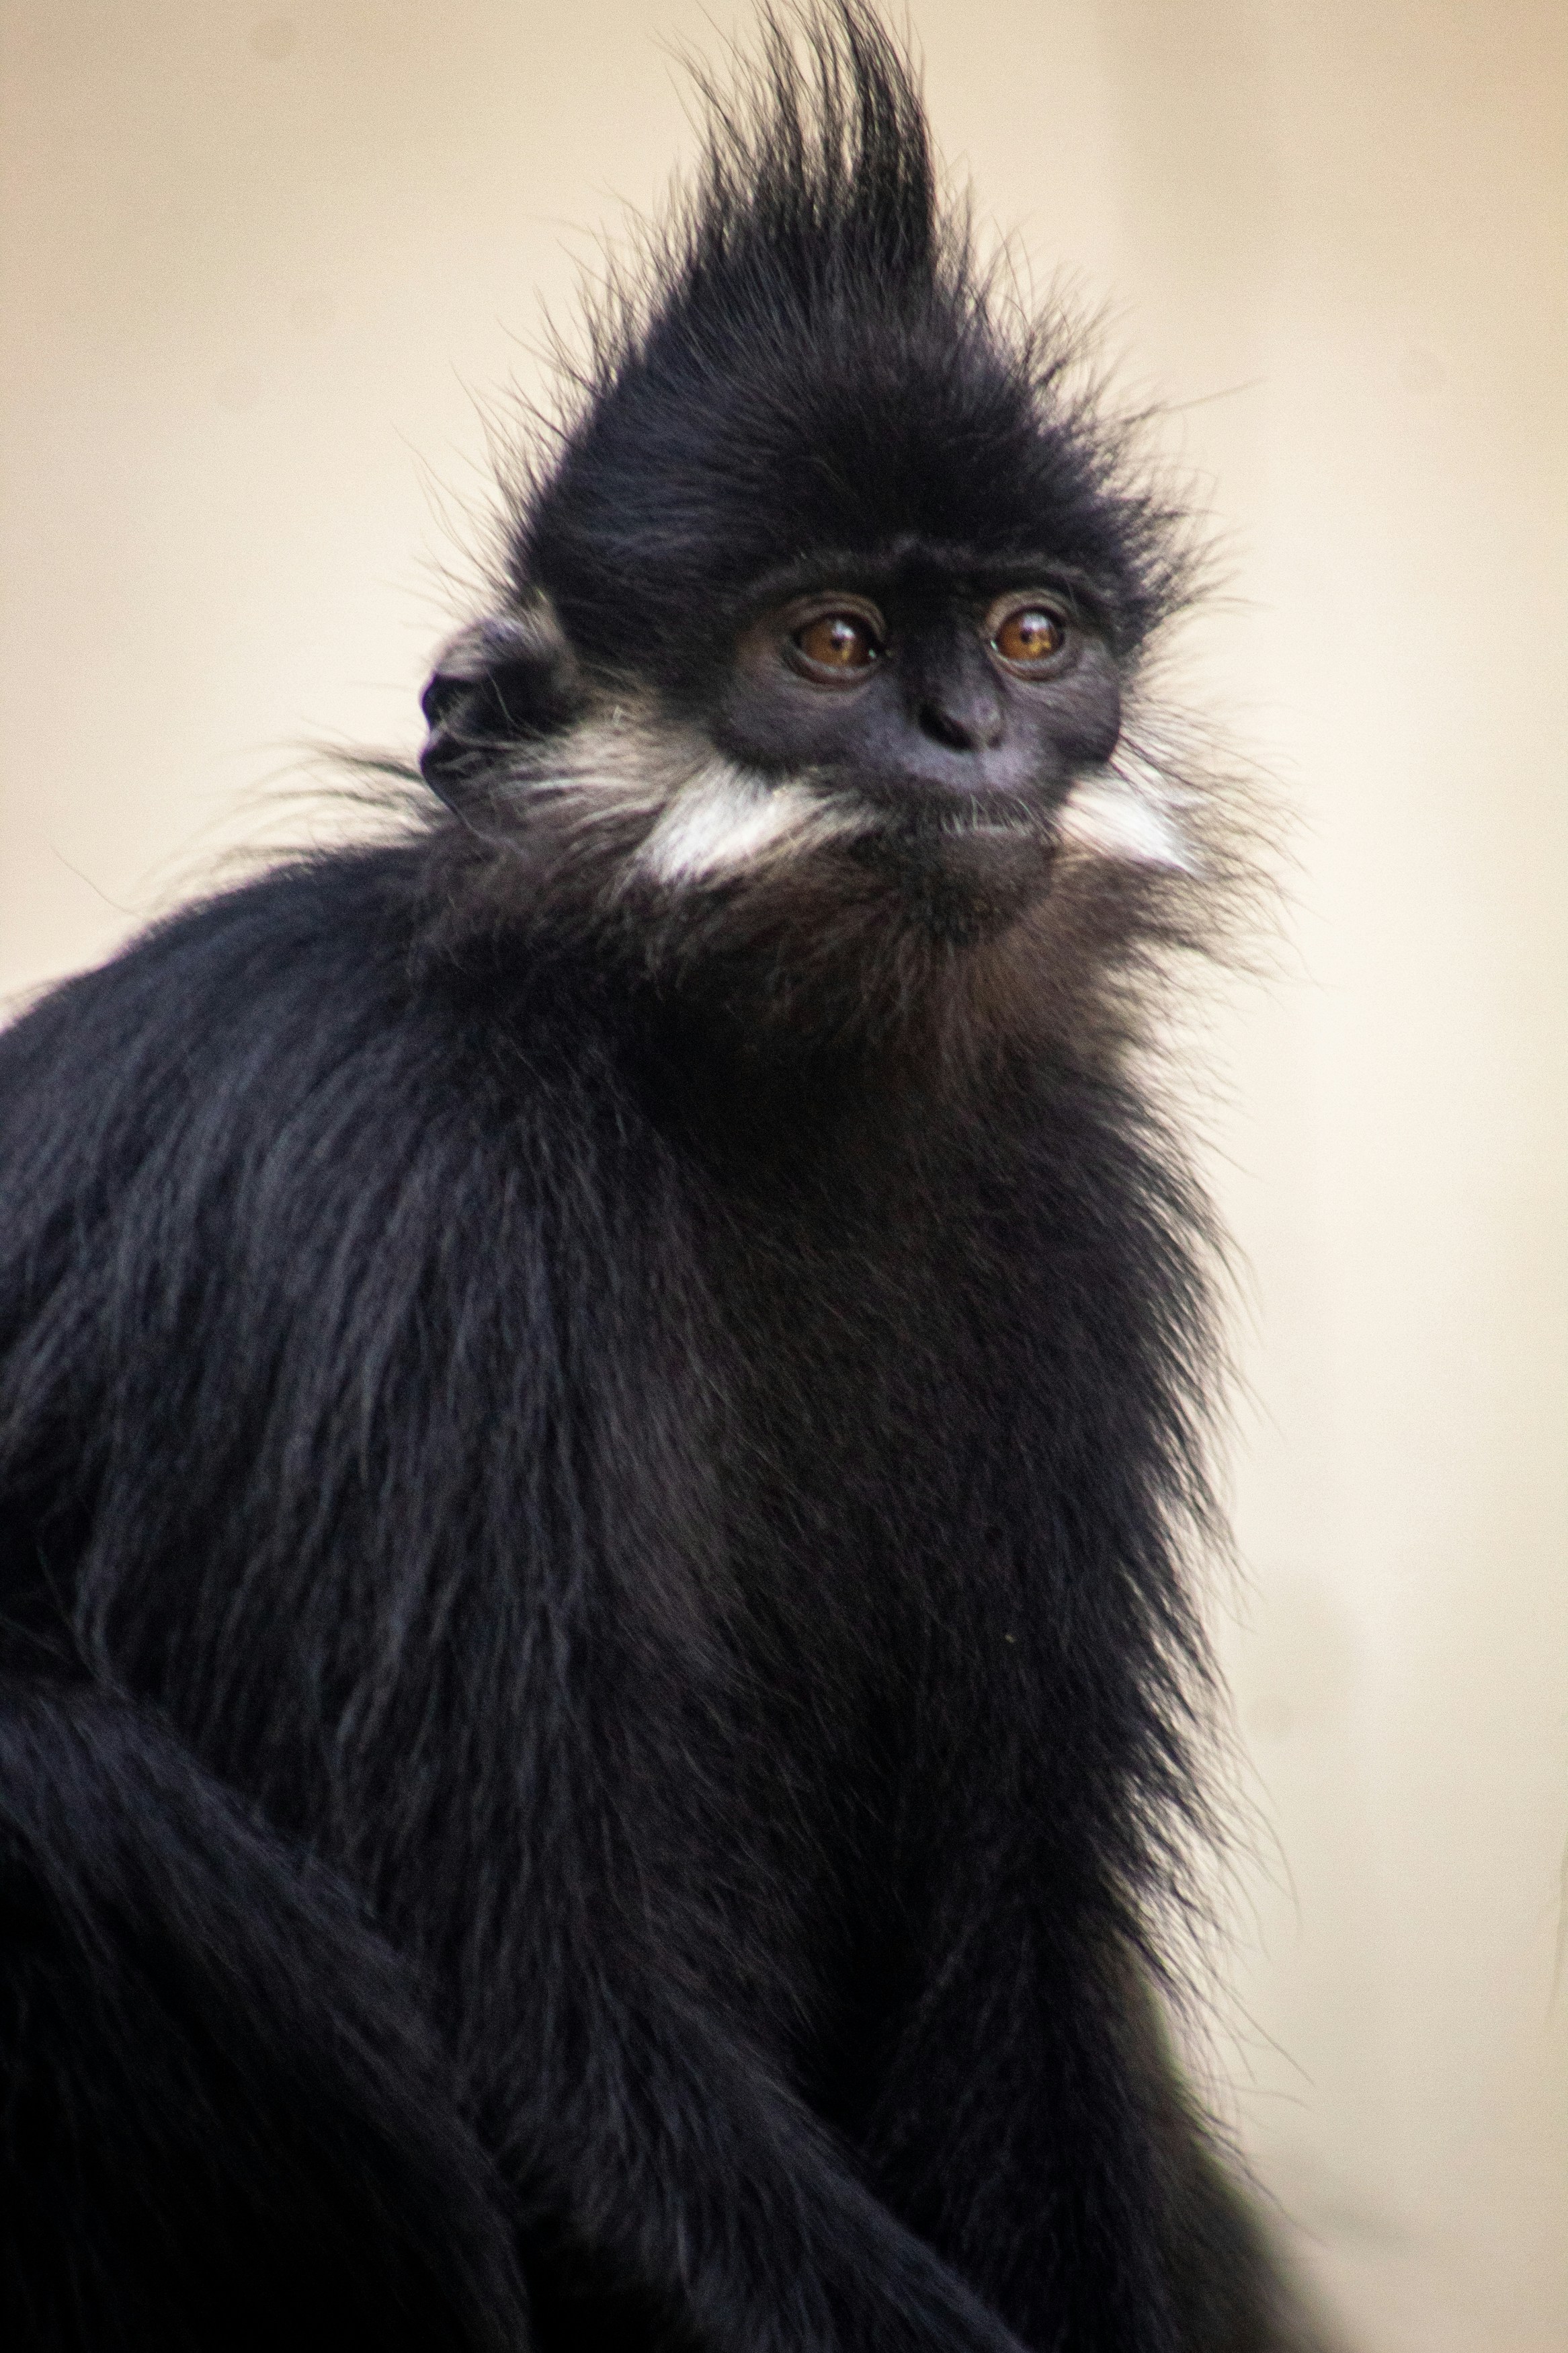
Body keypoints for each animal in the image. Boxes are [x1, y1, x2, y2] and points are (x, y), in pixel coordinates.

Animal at [0, 8, 1332, 2350]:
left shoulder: (1074, 1215)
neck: (734, 1085)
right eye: (829, 648)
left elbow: (1015, 1978)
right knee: (63, 1790)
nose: (970, 740)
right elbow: (546, 2043)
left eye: (1030, 635)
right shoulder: (409, 1197)